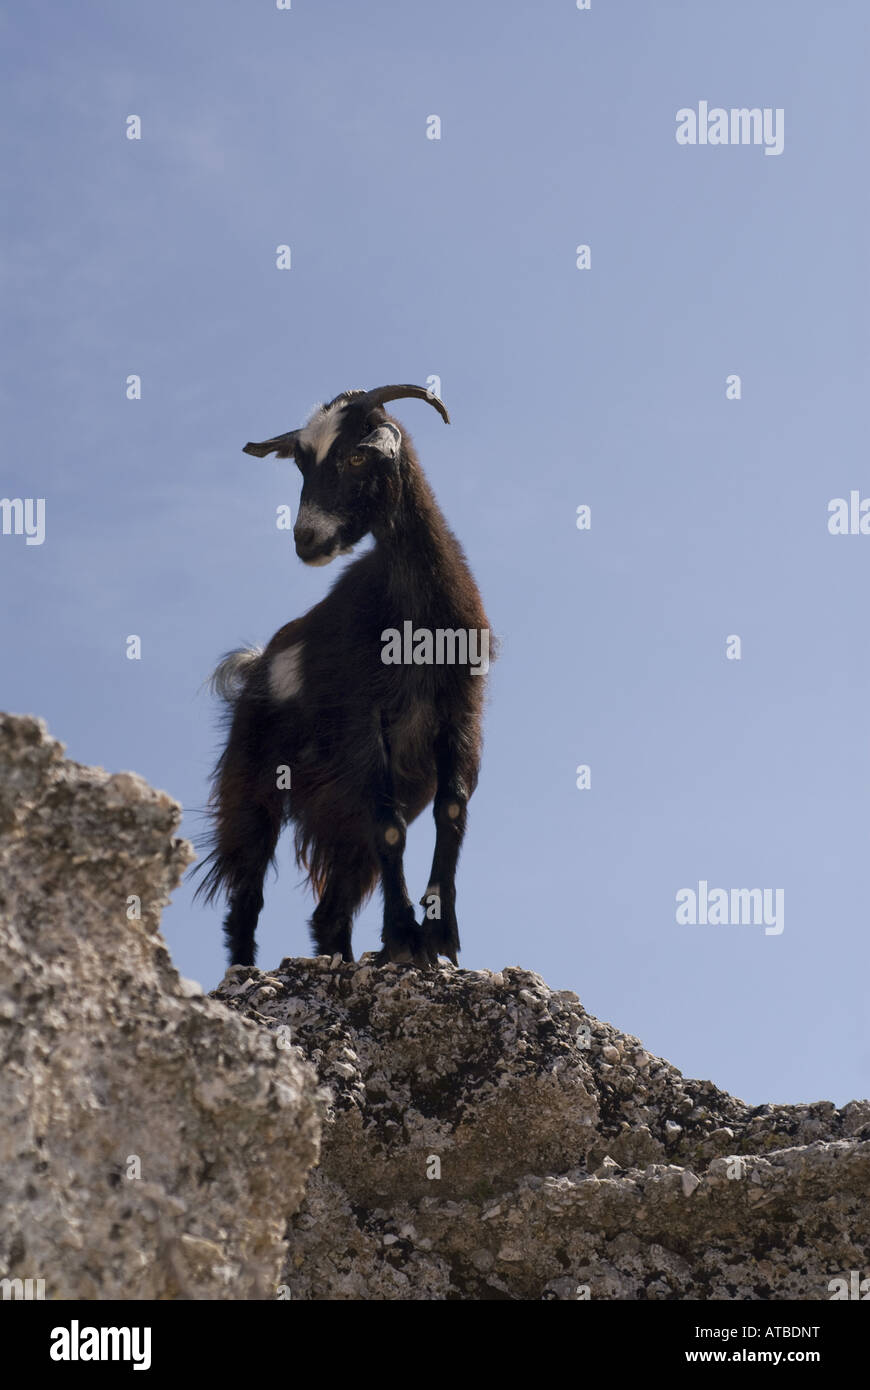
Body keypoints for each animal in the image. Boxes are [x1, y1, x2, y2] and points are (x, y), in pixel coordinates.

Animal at [194, 384, 492, 969]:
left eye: (357, 456)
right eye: (301, 465)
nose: (307, 541)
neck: (415, 623)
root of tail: (256, 665)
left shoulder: (460, 709)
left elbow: (450, 809)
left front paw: (438, 934)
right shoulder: (364, 718)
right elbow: (391, 828)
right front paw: (402, 938)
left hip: (351, 810)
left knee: (330, 910)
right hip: (254, 779)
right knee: (247, 884)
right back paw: (243, 971)